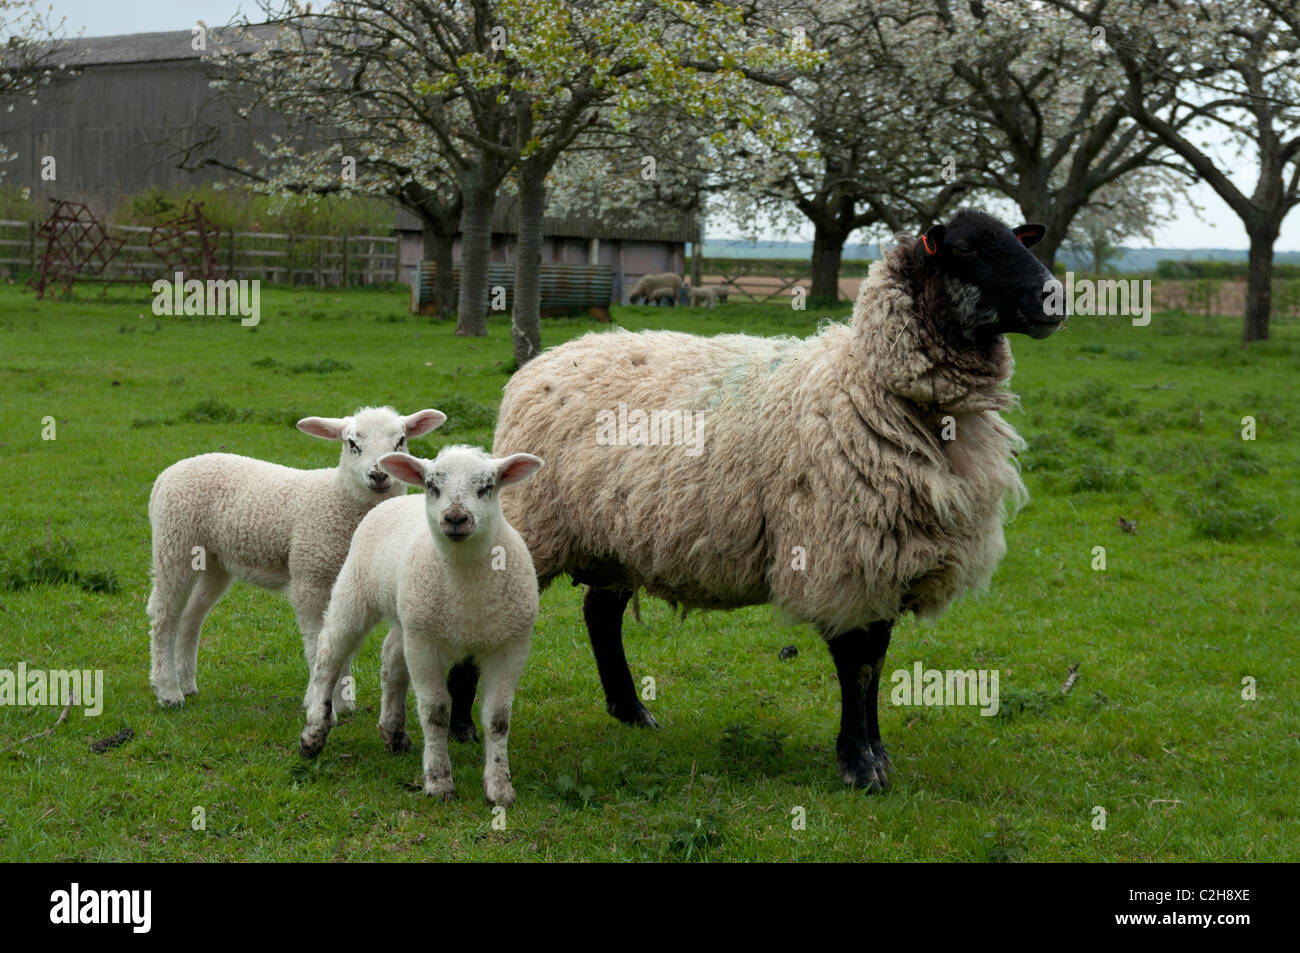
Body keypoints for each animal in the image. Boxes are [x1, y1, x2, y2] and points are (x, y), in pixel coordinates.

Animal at [146, 406, 446, 710]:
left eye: (400, 441)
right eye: (351, 443)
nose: (378, 475)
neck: (339, 499)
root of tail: (167, 474)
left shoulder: (345, 584)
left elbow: (341, 642)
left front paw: (343, 704)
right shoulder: (310, 577)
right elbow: (316, 644)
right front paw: (320, 700)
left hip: (213, 560)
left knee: (191, 616)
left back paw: (186, 683)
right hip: (175, 542)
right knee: (164, 616)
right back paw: (168, 691)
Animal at [298, 445, 544, 807]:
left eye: (488, 486)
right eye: (432, 485)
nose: (455, 518)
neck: (467, 584)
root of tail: (398, 500)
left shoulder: (510, 647)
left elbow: (498, 720)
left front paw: (500, 787)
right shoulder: (425, 646)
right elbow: (435, 712)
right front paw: (438, 780)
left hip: (409, 617)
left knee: (391, 660)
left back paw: (393, 731)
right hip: (355, 594)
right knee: (328, 656)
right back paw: (314, 733)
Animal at [477, 209, 1061, 791]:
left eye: (1018, 240)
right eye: (965, 250)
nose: (1054, 297)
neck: (865, 385)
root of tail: (547, 359)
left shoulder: (886, 555)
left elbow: (875, 661)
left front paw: (877, 754)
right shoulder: (841, 552)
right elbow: (856, 662)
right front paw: (859, 764)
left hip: (617, 536)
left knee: (599, 612)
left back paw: (632, 711)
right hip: (538, 525)